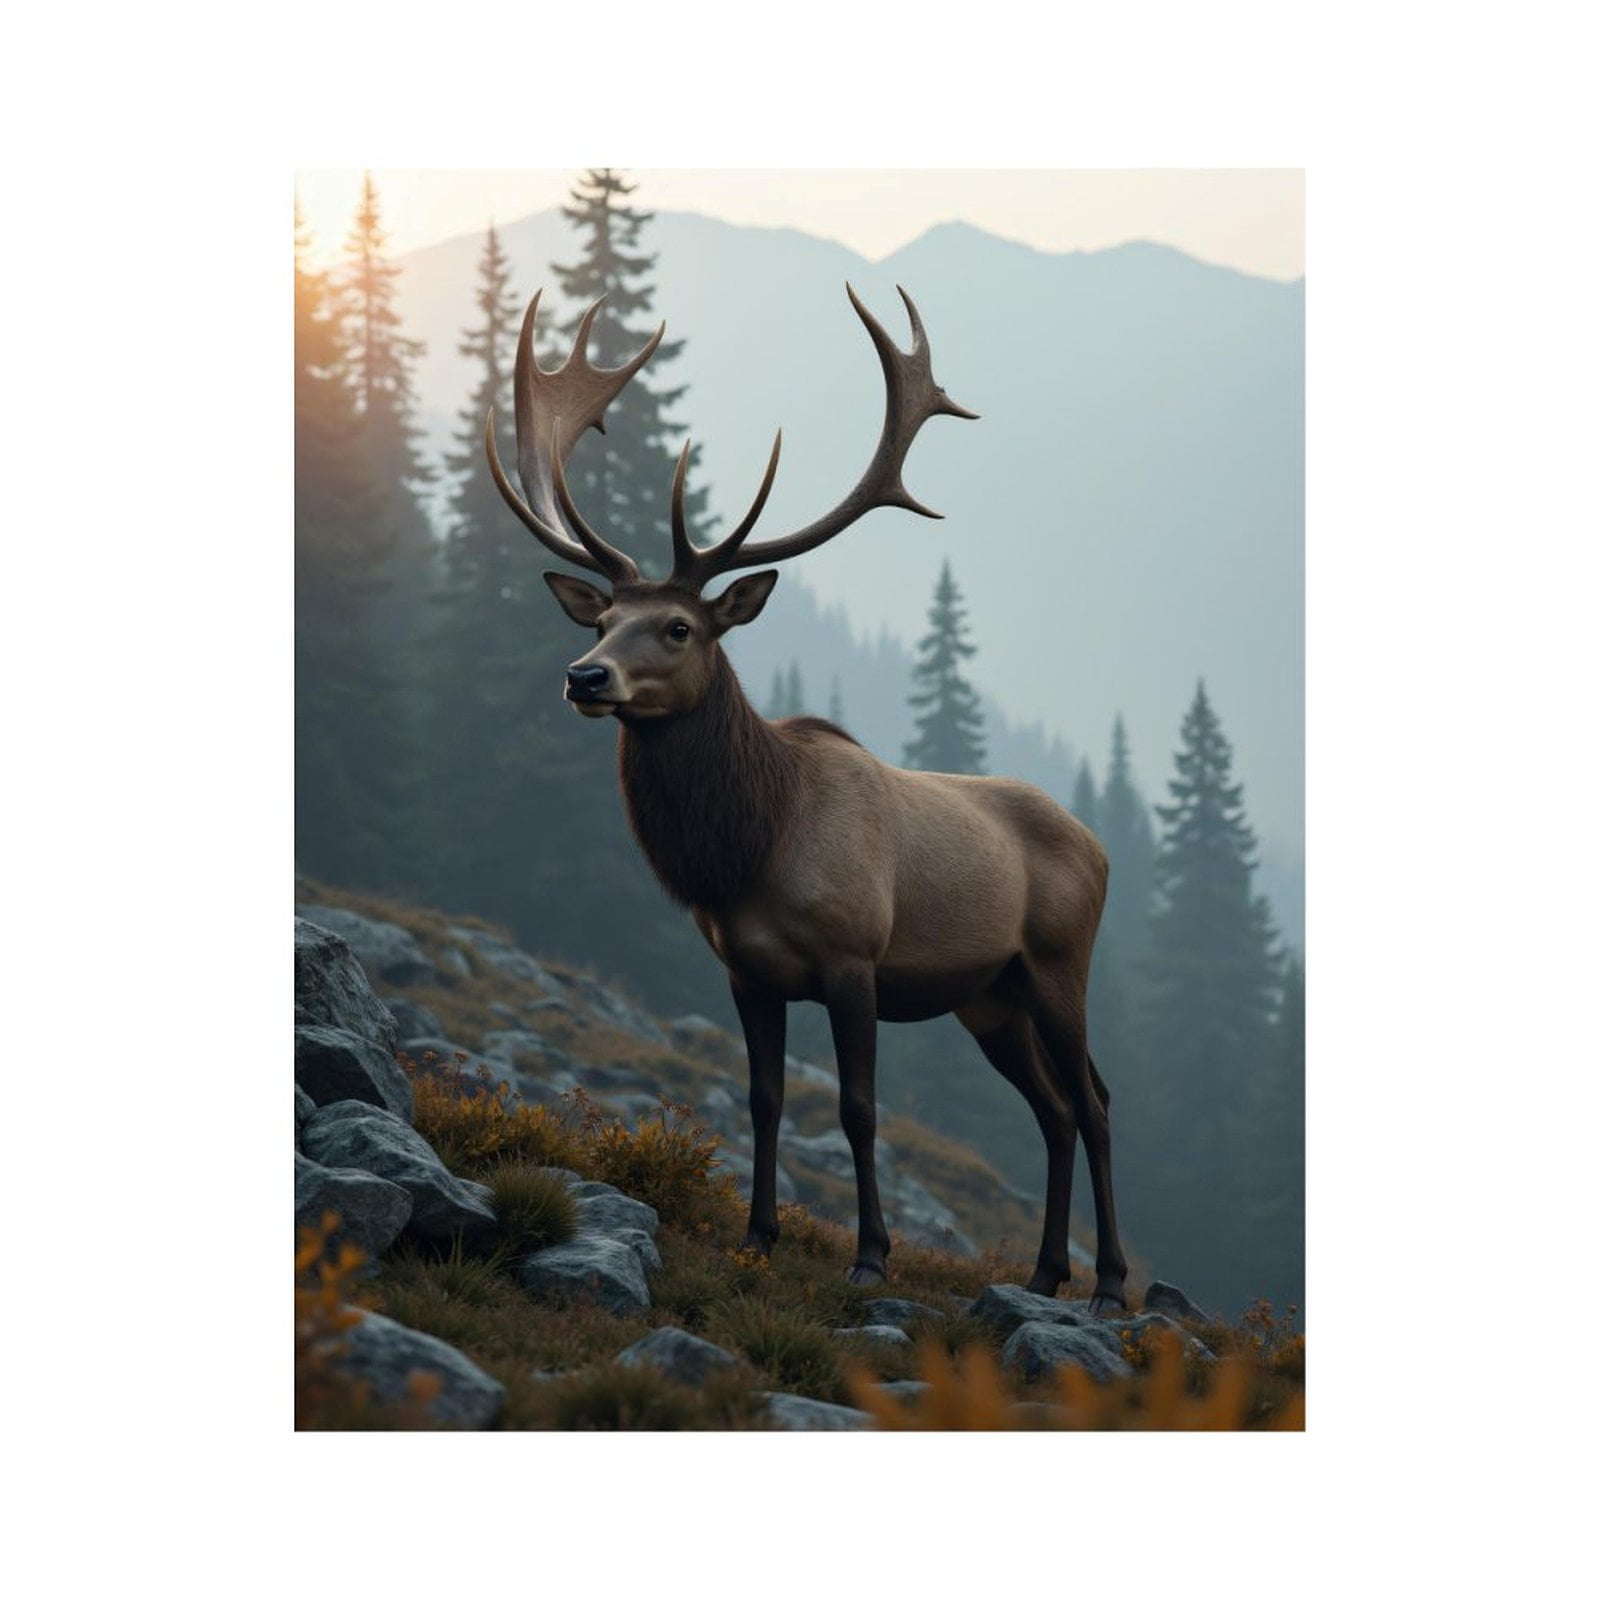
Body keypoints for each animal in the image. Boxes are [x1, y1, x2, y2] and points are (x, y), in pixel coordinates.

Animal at [485, 284, 1129, 1311]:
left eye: (678, 627)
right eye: (602, 619)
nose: (585, 677)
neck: (751, 849)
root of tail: (1100, 846)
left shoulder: (855, 958)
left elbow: (860, 1108)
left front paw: (870, 1254)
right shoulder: (746, 971)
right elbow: (764, 1099)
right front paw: (757, 1235)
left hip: (1059, 962)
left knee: (1097, 1101)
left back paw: (1107, 1283)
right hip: (989, 996)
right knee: (1054, 1108)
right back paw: (1043, 1270)